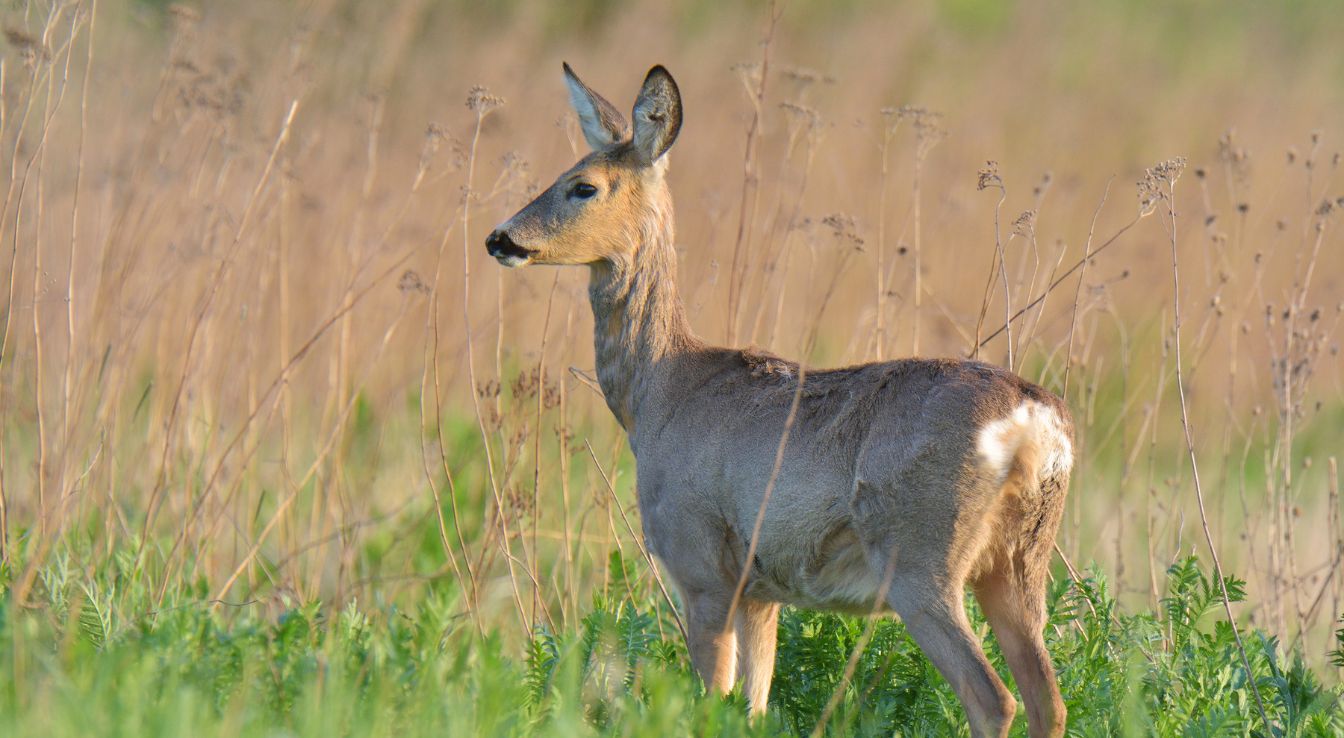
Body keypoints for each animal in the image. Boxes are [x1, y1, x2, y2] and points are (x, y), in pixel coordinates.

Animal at [485, 63, 1073, 738]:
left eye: (582, 186)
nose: (499, 238)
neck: (659, 393)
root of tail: (1034, 423)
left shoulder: (702, 567)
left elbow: (709, 702)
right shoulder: (760, 592)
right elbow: (753, 704)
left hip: (922, 558)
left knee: (993, 697)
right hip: (1020, 562)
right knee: (1048, 698)